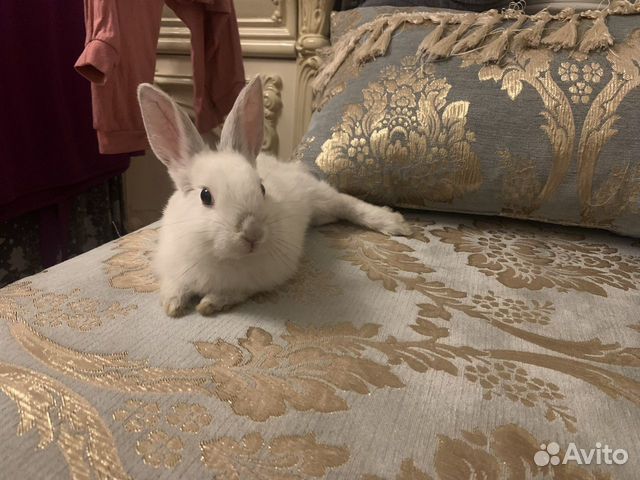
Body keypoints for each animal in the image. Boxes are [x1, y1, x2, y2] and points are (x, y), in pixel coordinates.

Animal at [137, 77, 411, 317]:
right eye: (205, 196)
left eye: (261, 189)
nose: (253, 233)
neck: (220, 257)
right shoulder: (172, 267)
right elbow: (173, 286)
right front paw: (172, 305)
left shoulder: (256, 281)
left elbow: (232, 293)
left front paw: (210, 304)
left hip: (322, 198)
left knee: (347, 204)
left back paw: (395, 223)